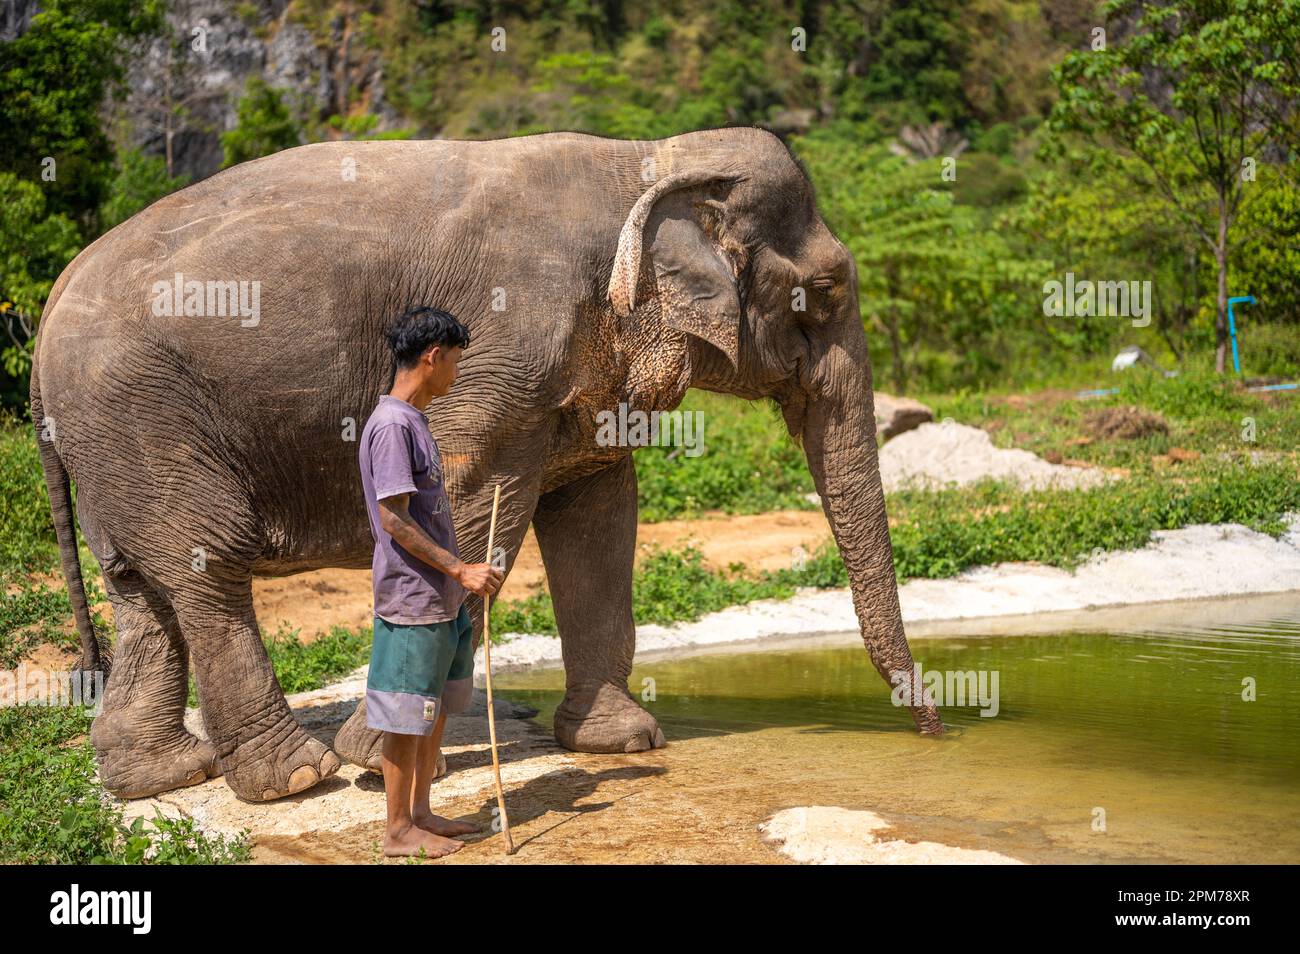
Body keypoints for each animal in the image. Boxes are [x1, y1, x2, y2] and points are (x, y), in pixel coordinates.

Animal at [32, 126, 943, 803]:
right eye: (827, 293)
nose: (934, 730)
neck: (646, 159)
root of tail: (49, 306)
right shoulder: (503, 348)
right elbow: (471, 492)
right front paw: (382, 757)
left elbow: (598, 514)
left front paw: (619, 741)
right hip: (140, 409)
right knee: (207, 565)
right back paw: (297, 777)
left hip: (112, 437)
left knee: (141, 585)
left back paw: (162, 776)